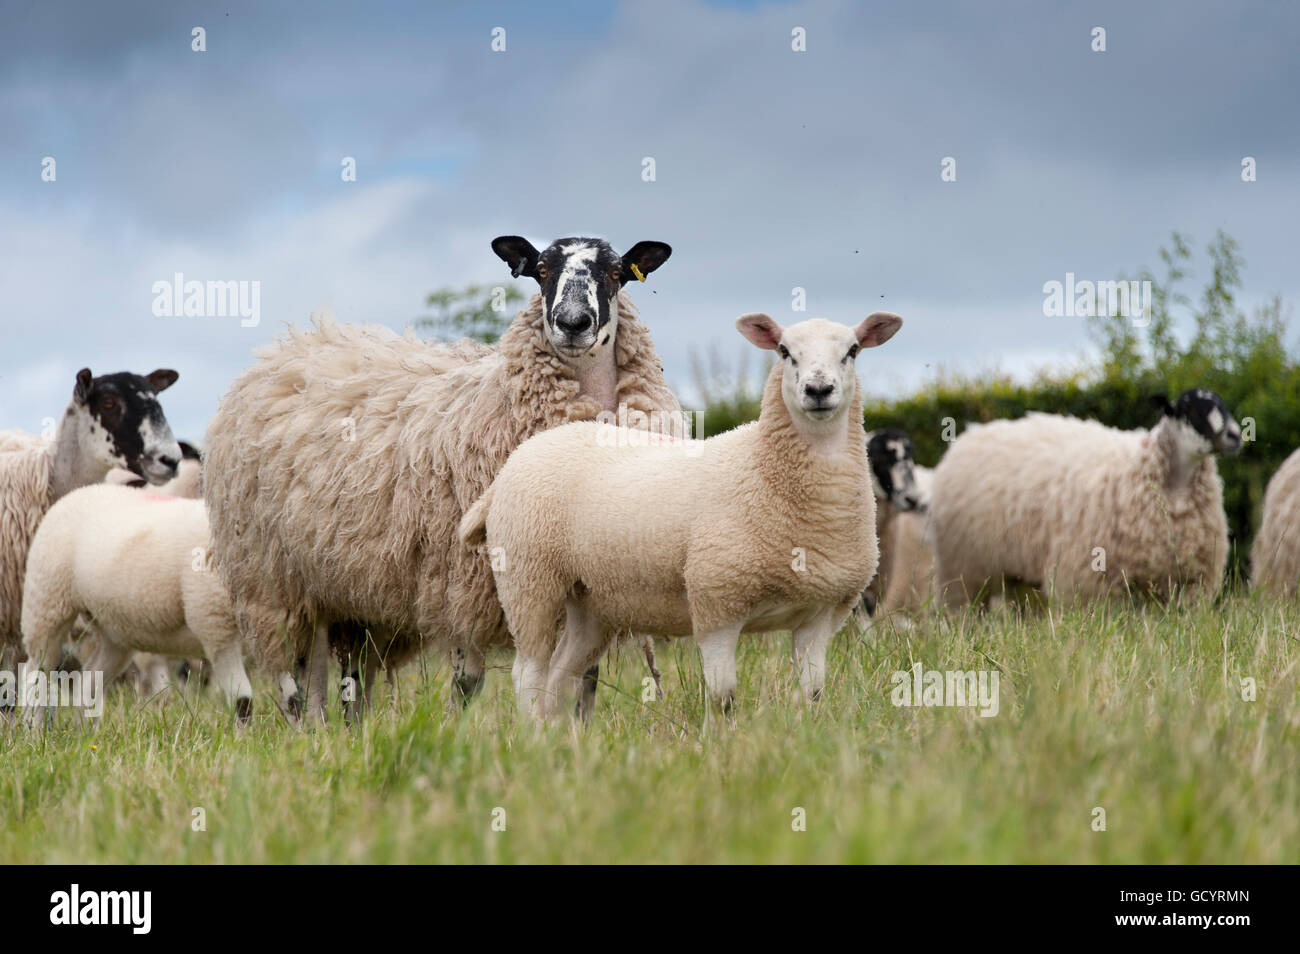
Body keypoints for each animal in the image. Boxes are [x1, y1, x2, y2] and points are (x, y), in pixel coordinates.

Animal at [20, 484, 252, 726]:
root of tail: (81, 491)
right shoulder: (216, 626)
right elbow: (242, 701)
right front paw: (241, 734)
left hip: (115, 631)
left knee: (91, 678)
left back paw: (84, 731)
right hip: (47, 602)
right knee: (36, 670)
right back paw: (33, 728)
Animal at [203, 235, 681, 722]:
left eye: (616, 272)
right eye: (542, 271)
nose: (572, 323)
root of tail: (294, 345)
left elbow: (584, 679)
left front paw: (575, 729)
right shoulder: (466, 578)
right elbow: (468, 681)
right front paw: (456, 729)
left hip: (347, 585)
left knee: (344, 673)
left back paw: (340, 731)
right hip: (272, 576)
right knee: (294, 676)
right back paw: (306, 726)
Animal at [459, 311, 904, 721]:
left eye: (852, 351)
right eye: (784, 351)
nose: (818, 390)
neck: (763, 468)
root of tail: (511, 466)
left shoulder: (819, 616)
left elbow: (812, 695)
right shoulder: (717, 601)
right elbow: (723, 698)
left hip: (592, 601)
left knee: (560, 675)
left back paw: (557, 739)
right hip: (528, 578)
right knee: (528, 674)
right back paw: (532, 735)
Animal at [930, 389, 1241, 608]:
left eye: (1223, 405)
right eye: (1188, 409)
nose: (1236, 435)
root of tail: (970, 434)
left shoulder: (1188, 583)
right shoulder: (1089, 580)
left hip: (1016, 574)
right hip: (963, 574)